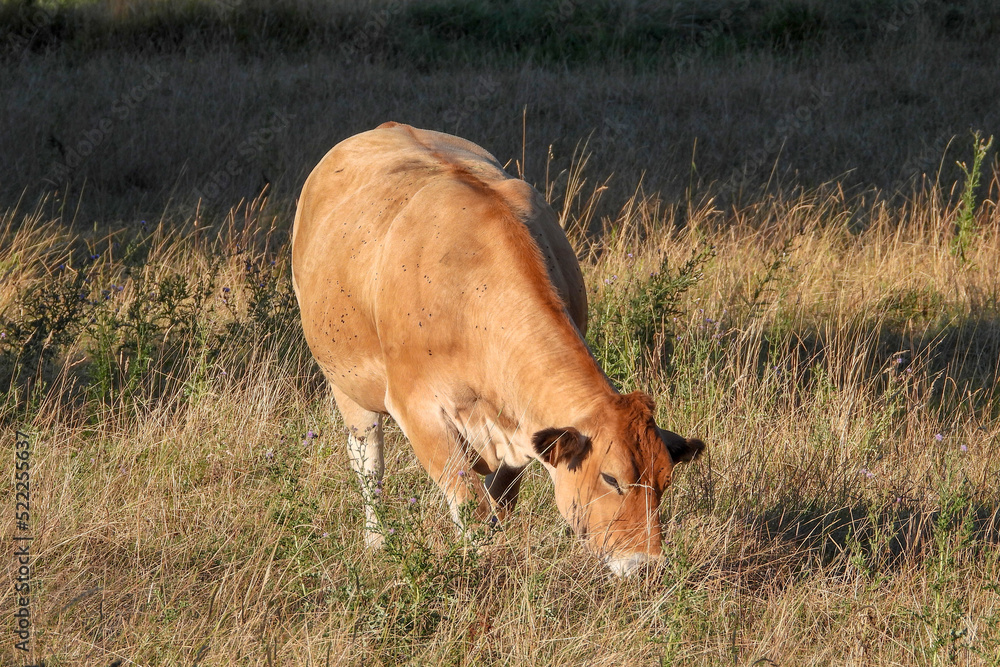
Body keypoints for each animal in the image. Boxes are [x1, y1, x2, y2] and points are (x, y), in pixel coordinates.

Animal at [291, 122, 704, 575]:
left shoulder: (519, 435)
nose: (647, 564)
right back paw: (377, 539)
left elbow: (498, 505)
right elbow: (469, 504)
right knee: (369, 465)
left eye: (665, 481)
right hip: (345, 384)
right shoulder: (419, 411)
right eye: (612, 478)